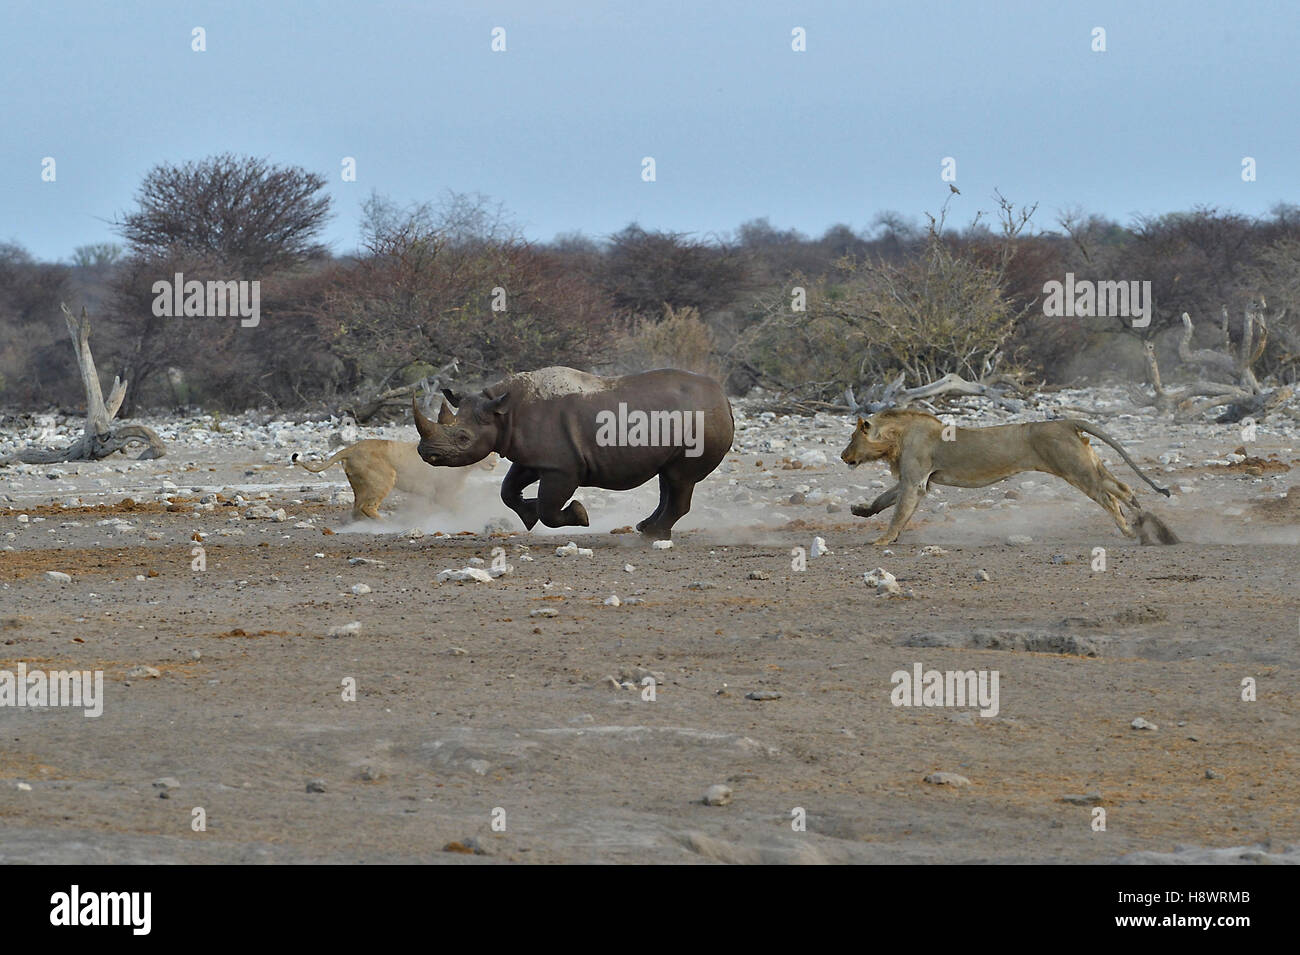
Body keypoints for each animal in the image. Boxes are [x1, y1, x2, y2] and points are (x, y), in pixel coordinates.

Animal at [413, 367, 734, 539]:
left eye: (463, 438)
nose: (426, 453)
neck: (503, 413)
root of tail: (723, 396)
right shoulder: (534, 458)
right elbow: (508, 489)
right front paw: (528, 516)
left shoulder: (562, 467)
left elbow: (550, 509)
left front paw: (580, 515)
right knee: (668, 477)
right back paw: (646, 528)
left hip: (702, 421)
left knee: (680, 478)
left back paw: (653, 535)